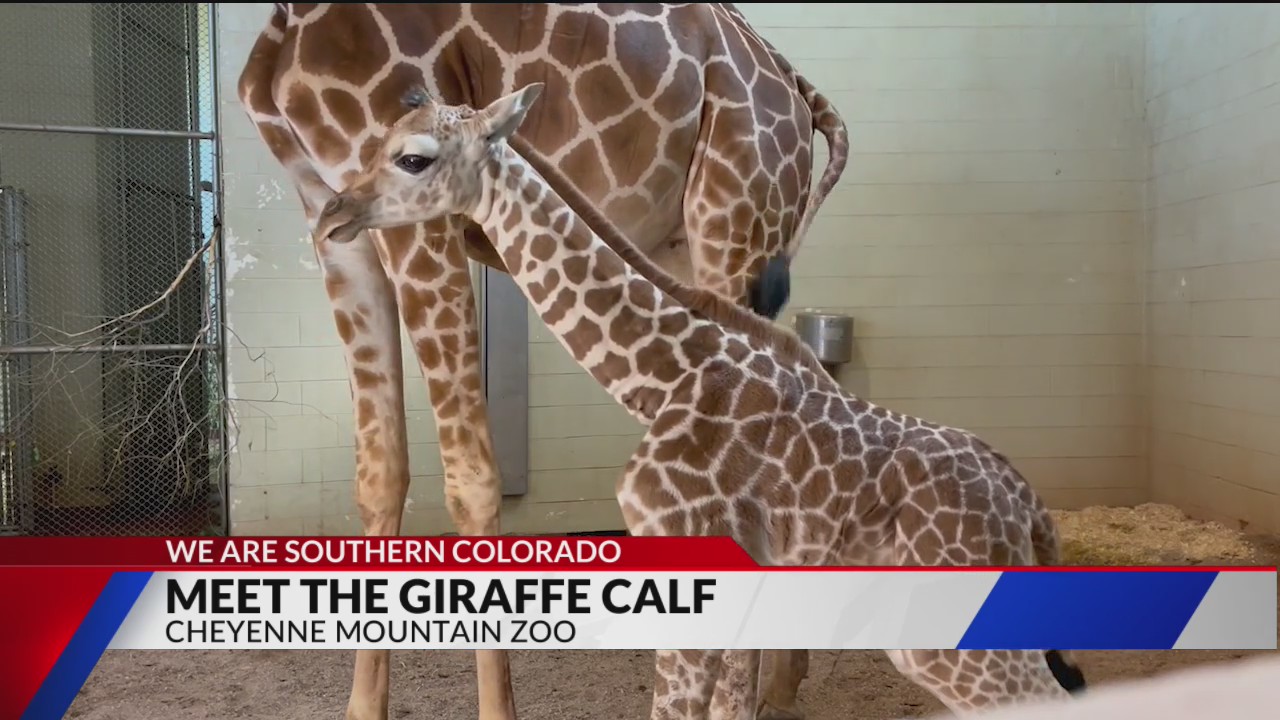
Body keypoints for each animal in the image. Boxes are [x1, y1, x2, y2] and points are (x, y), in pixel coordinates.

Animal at [235, 4, 846, 719]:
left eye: (414, 157)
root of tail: (797, 88)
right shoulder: (331, 219)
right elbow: (379, 475)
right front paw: (363, 710)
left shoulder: (421, 221)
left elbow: (471, 480)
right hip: (691, 249)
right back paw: (779, 687)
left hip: (735, 221)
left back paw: (745, 699)